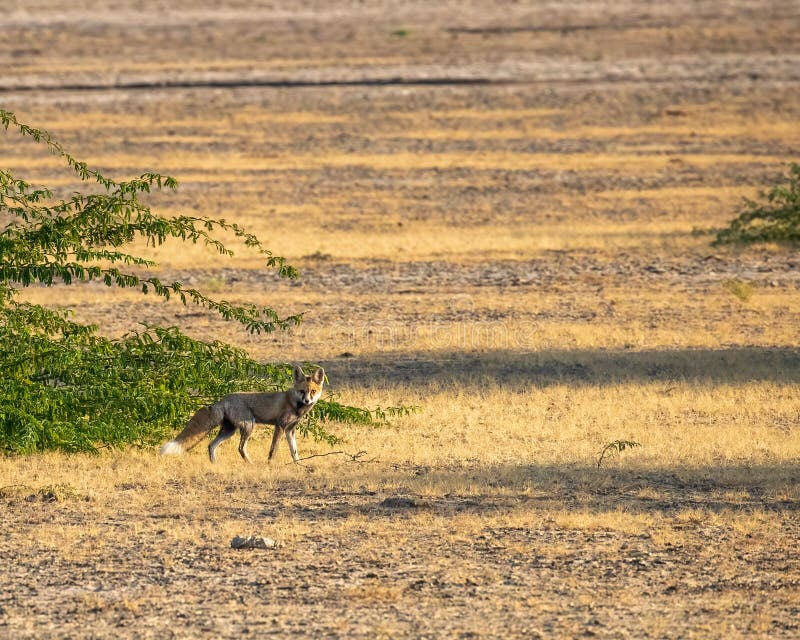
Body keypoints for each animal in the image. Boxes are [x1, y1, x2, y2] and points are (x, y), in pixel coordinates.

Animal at [159, 364, 324, 464]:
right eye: (302, 391)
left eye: (313, 391)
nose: (308, 400)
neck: (294, 404)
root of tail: (223, 399)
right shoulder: (280, 426)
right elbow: (273, 450)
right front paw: (269, 464)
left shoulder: (290, 430)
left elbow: (294, 451)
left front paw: (299, 465)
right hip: (249, 426)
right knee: (240, 448)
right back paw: (251, 464)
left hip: (229, 431)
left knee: (211, 445)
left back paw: (215, 464)